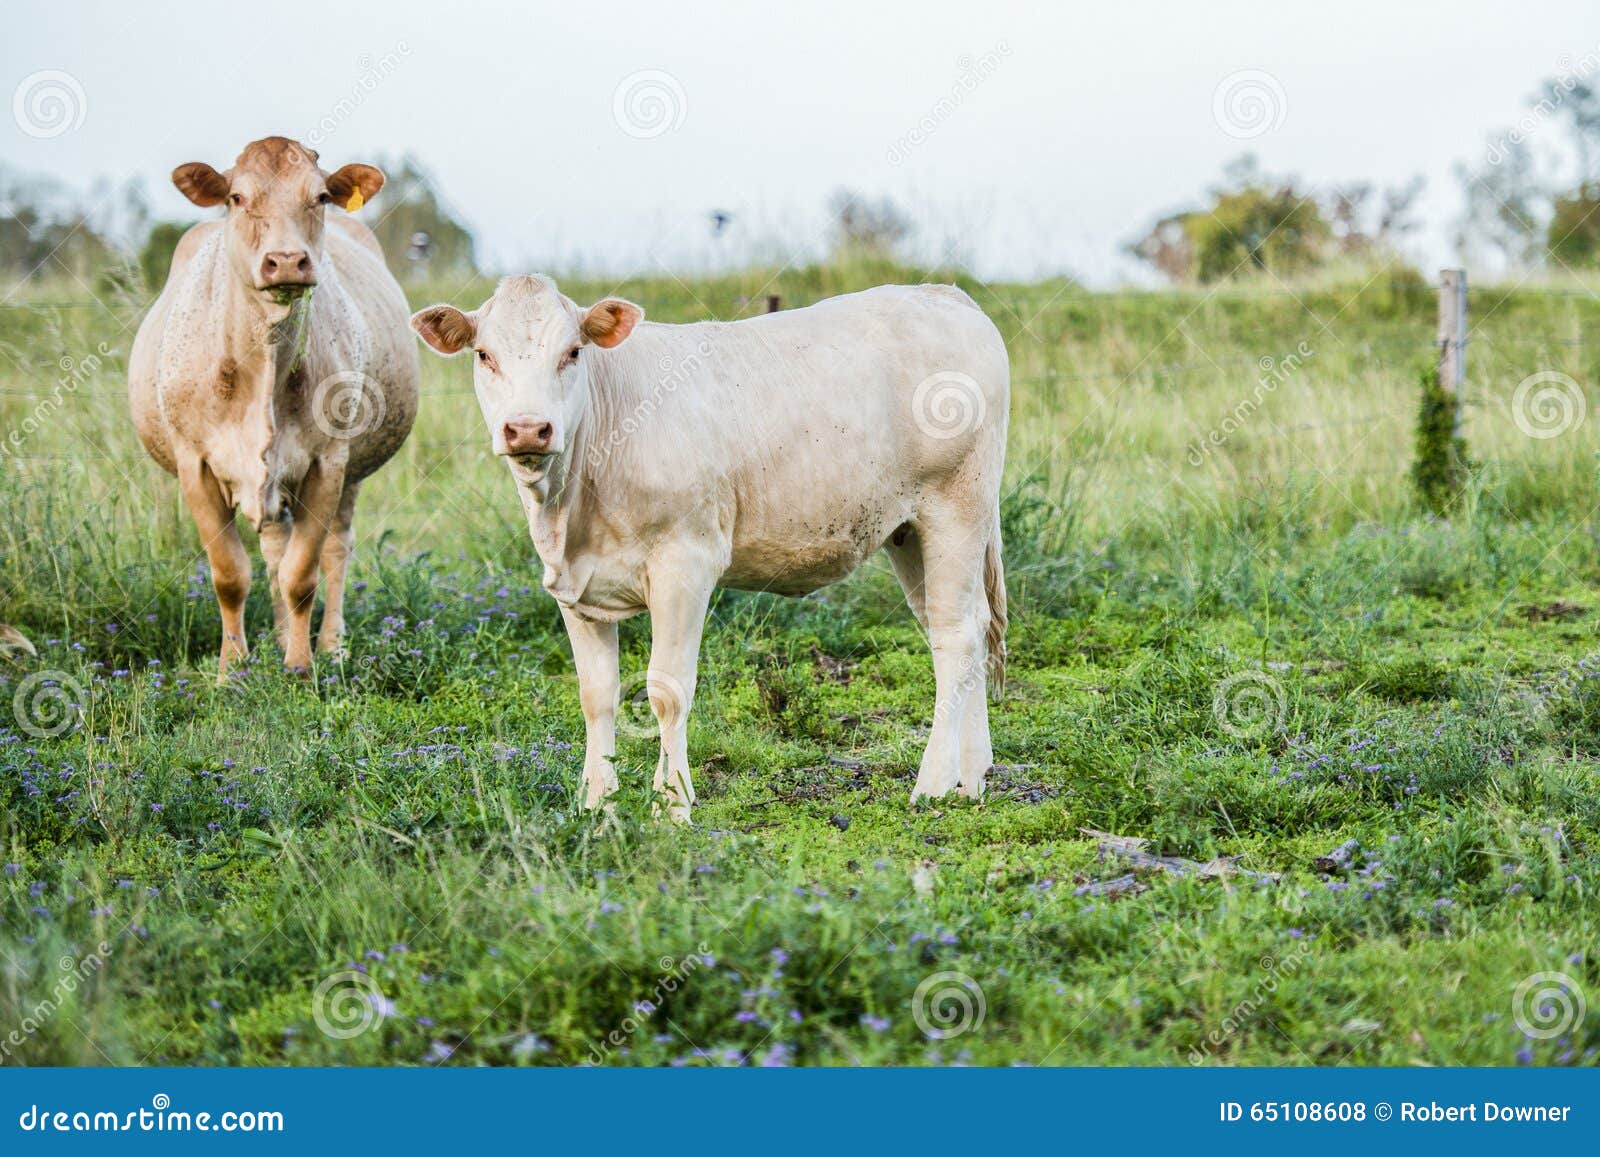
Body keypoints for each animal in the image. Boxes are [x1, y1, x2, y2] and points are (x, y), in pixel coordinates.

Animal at [129, 137, 419, 676]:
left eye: (321, 196)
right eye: (237, 198)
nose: (286, 261)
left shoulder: (328, 463)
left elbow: (302, 575)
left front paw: (301, 668)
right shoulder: (195, 465)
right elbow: (231, 575)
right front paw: (231, 670)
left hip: (350, 471)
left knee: (334, 550)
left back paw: (330, 645)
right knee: (274, 551)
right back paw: (282, 635)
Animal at [411, 276, 1008, 821]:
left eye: (573, 352)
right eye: (484, 354)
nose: (529, 428)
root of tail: (944, 292)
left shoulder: (686, 563)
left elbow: (667, 690)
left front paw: (672, 805)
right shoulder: (572, 585)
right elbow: (595, 695)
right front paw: (596, 804)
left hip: (956, 507)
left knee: (956, 635)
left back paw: (933, 784)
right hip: (907, 532)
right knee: (967, 625)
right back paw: (972, 774)